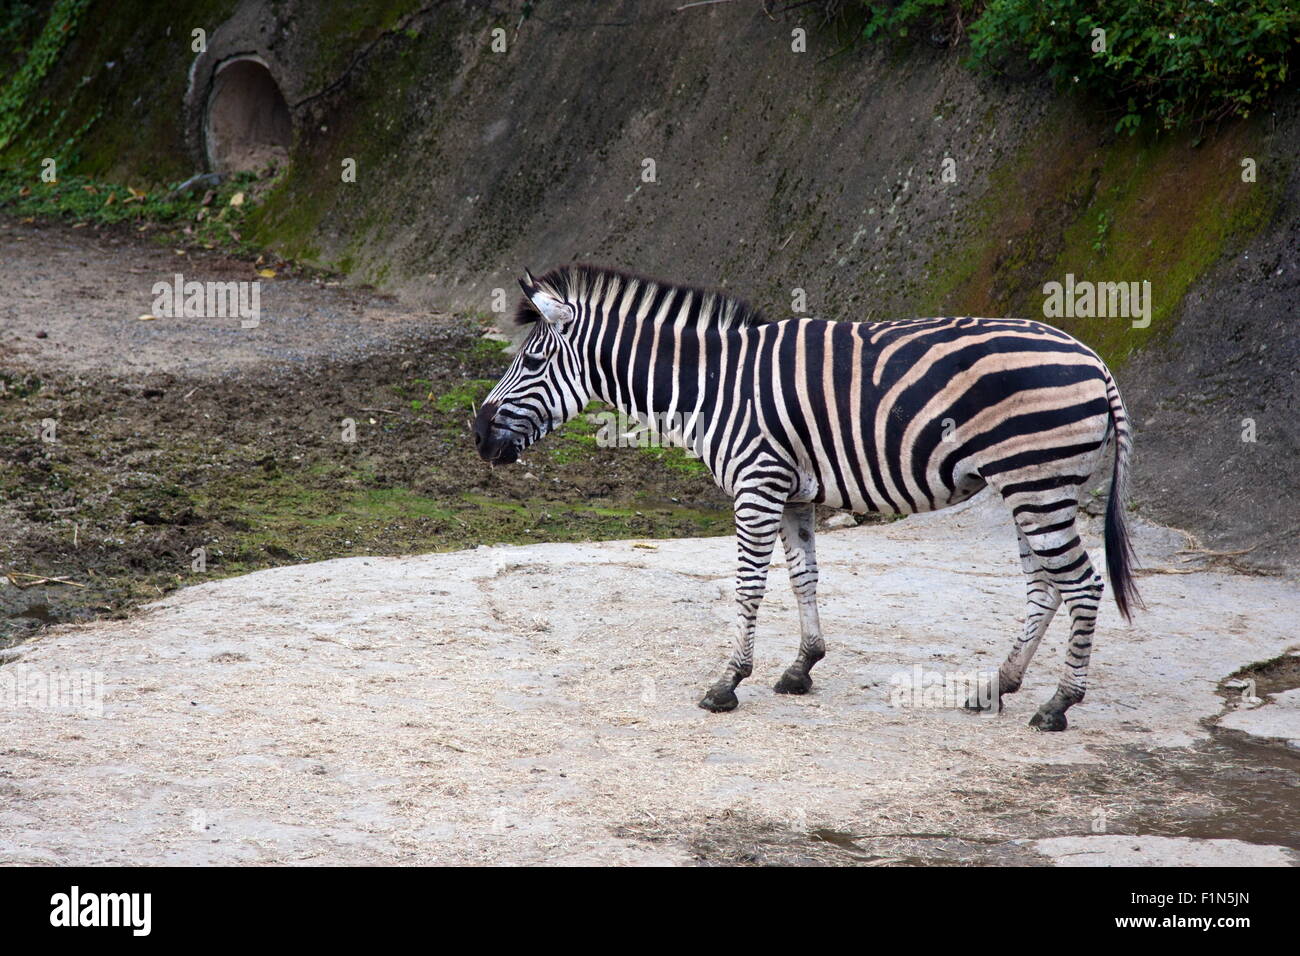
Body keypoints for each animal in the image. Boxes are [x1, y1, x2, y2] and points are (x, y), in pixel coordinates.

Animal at [474, 264, 1140, 731]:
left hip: (1036, 482)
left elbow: (748, 586)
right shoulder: (793, 492)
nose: (477, 436)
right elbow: (804, 577)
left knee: (1081, 584)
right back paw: (997, 686)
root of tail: (1096, 359)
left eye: (532, 361)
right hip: (1029, 485)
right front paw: (802, 667)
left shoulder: (757, 483)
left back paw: (1058, 704)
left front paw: (727, 683)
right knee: (1046, 587)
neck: (712, 384)